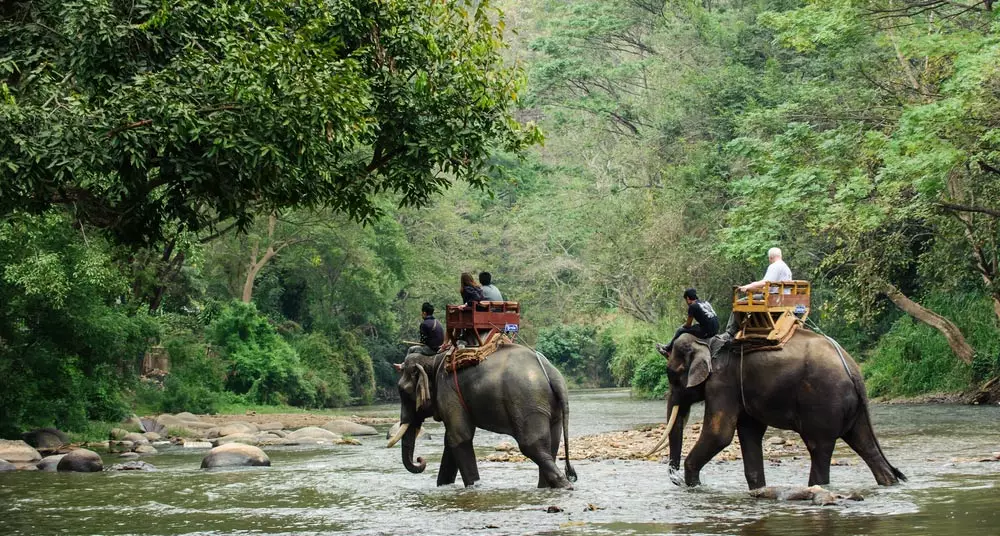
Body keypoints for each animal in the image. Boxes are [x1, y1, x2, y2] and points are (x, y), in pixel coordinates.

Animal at [388, 344, 580, 490]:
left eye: (403, 391)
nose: (420, 460)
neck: (434, 358)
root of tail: (552, 374)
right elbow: (451, 441)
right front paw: (443, 486)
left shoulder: (448, 392)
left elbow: (460, 437)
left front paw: (474, 487)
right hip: (550, 408)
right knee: (551, 445)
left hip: (528, 402)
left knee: (532, 446)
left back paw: (565, 486)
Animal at [648, 330, 908, 490]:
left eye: (672, 375)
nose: (675, 479)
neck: (706, 342)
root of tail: (854, 371)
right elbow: (749, 432)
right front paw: (758, 489)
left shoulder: (722, 384)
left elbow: (719, 435)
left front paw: (695, 486)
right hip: (854, 409)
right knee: (865, 444)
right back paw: (889, 482)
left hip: (823, 402)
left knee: (819, 448)